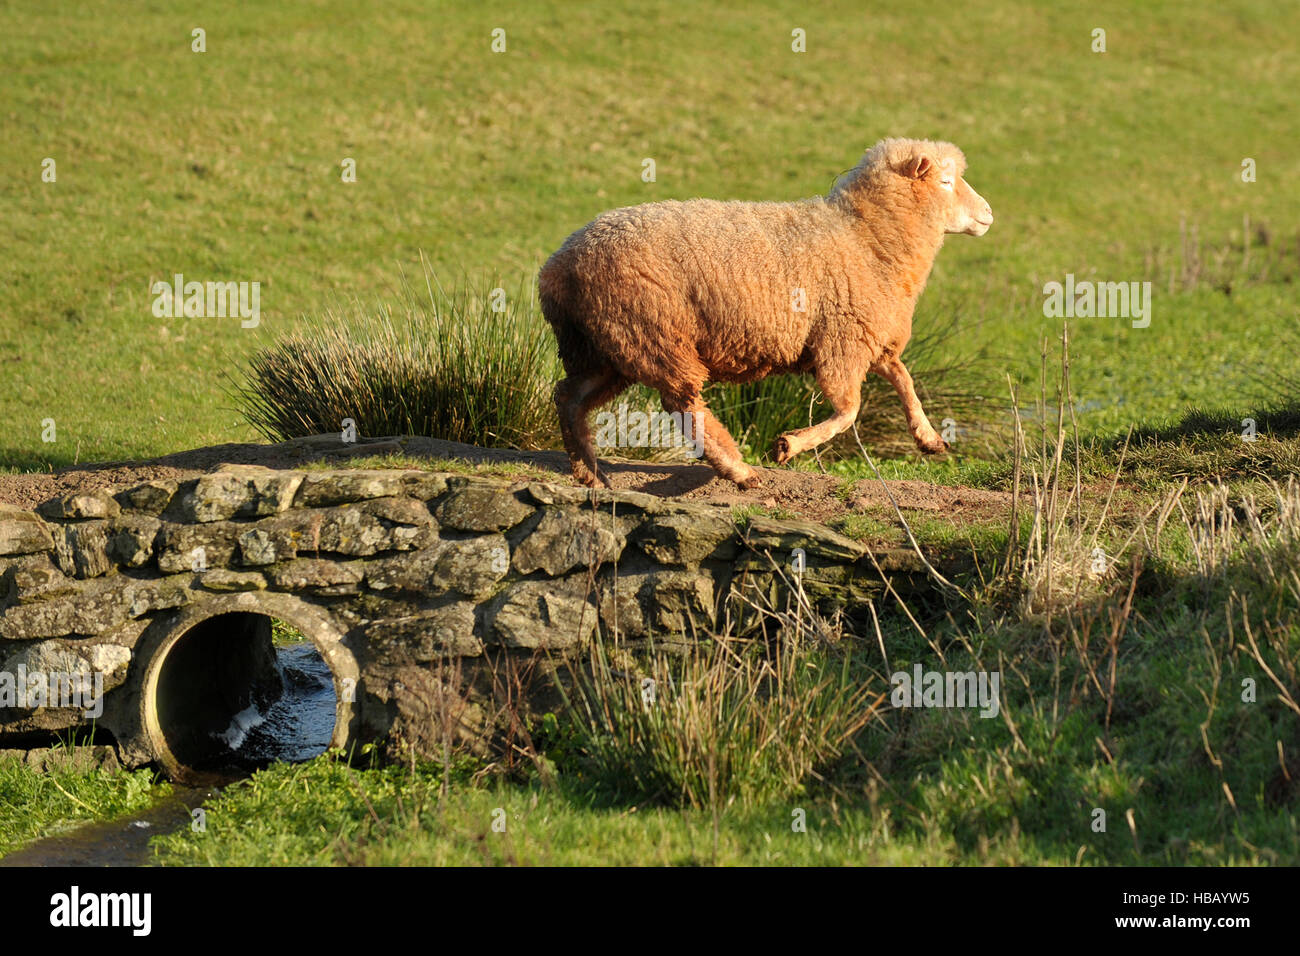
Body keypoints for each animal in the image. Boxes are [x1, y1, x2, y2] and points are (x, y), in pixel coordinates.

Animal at [538, 137, 993, 489]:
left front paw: (929, 438)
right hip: (654, 332)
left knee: (569, 398)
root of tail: (558, 267)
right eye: (946, 181)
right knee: (682, 403)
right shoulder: (842, 340)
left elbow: (903, 378)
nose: (989, 213)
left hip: (607, 346)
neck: (868, 237)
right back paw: (737, 470)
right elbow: (849, 410)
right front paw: (789, 445)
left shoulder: (871, 336)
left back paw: (589, 472)